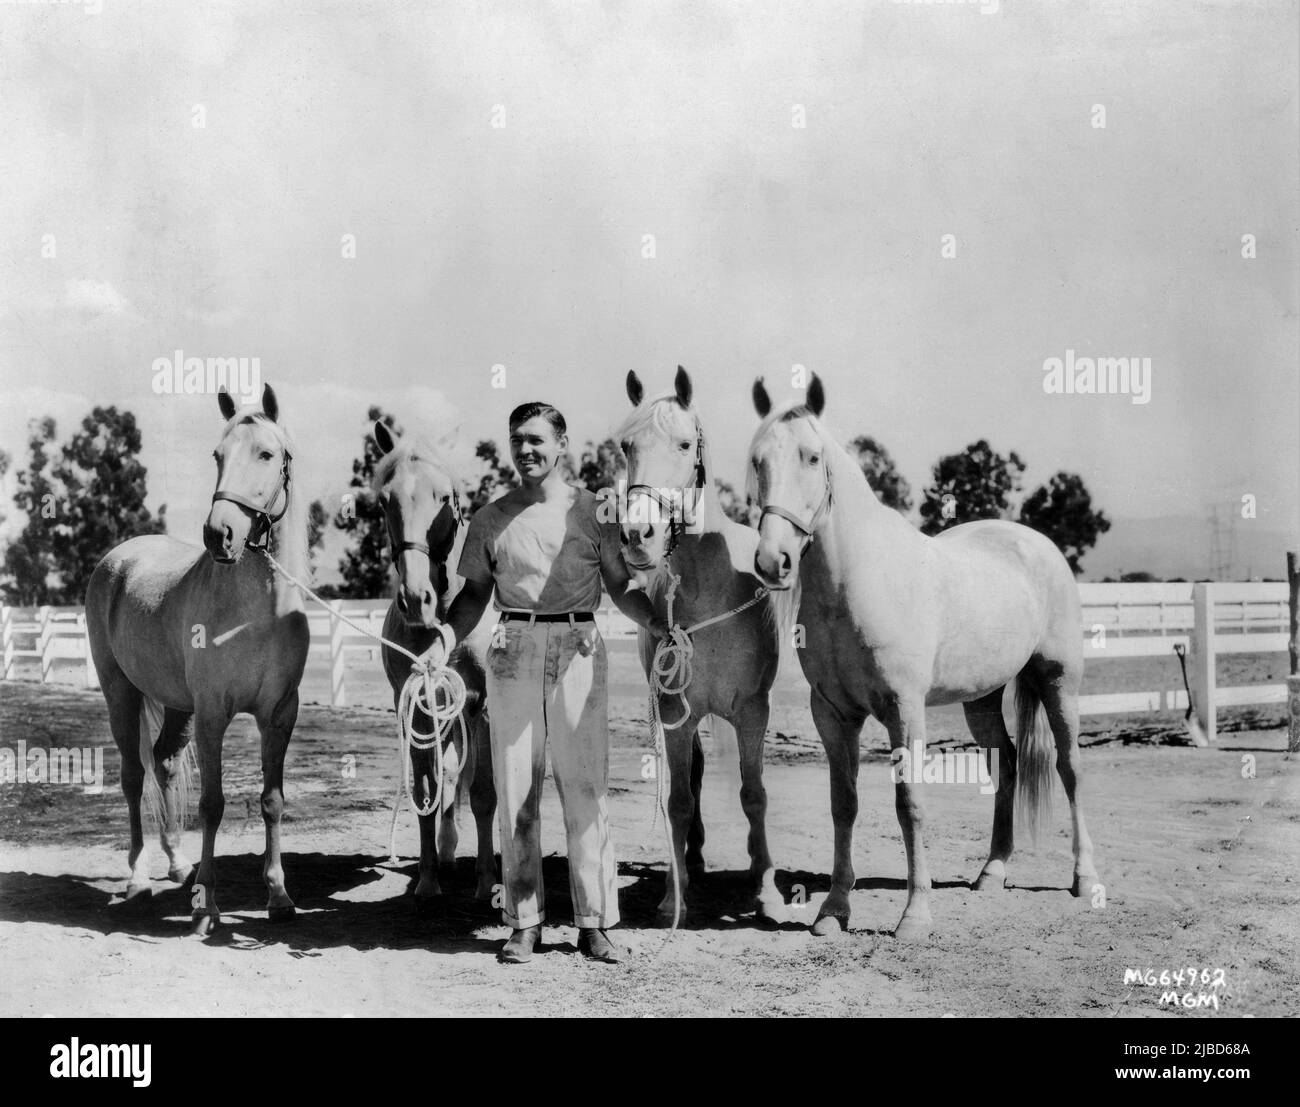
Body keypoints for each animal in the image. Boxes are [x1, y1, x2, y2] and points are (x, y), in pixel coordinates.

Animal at [85, 383, 309, 936]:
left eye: (266, 454)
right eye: (217, 455)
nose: (218, 535)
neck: (257, 613)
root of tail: (119, 557)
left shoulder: (280, 714)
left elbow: (272, 801)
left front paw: (278, 896)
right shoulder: (212, 715)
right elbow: (212, 804)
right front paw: (207, 908)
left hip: (176, 705)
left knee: (164, 763)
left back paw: (178, 864)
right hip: (121, 693)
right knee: (133, 776)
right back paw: (139, 877)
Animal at [371, 422, 497, 910]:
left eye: (443, 497)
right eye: (383, 501)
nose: (415, 598)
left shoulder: (480, 706)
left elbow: (483, 794)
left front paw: (485, 884)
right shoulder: (418, 708)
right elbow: (427, 788)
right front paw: (427, 882)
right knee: (445, 775)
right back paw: (444, 852)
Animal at [616, 366, 786, 924]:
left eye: (685, 443)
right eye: (626, 446)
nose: (637, 536)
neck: (710, 587)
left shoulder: (753, 710)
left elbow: (755, 793)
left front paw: (767, 889)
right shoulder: (676, 713)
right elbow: (679, 801)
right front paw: (675, 896)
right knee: (691, 780)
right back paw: (692, 859)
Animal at [746, 375, 1098, 941]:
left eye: (811, 456)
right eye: (758, 460)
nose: (772, 561)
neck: (854, 583)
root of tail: (1036, 544)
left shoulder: (904, 709)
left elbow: (909, 803)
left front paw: (915, 916)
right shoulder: (833, 714)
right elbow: (843, 805)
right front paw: (833, 912)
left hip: (1058, 682)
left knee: (1070, 768)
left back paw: (1084, 878)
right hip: (983, 698)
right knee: (1007, 764)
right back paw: (992, 872)